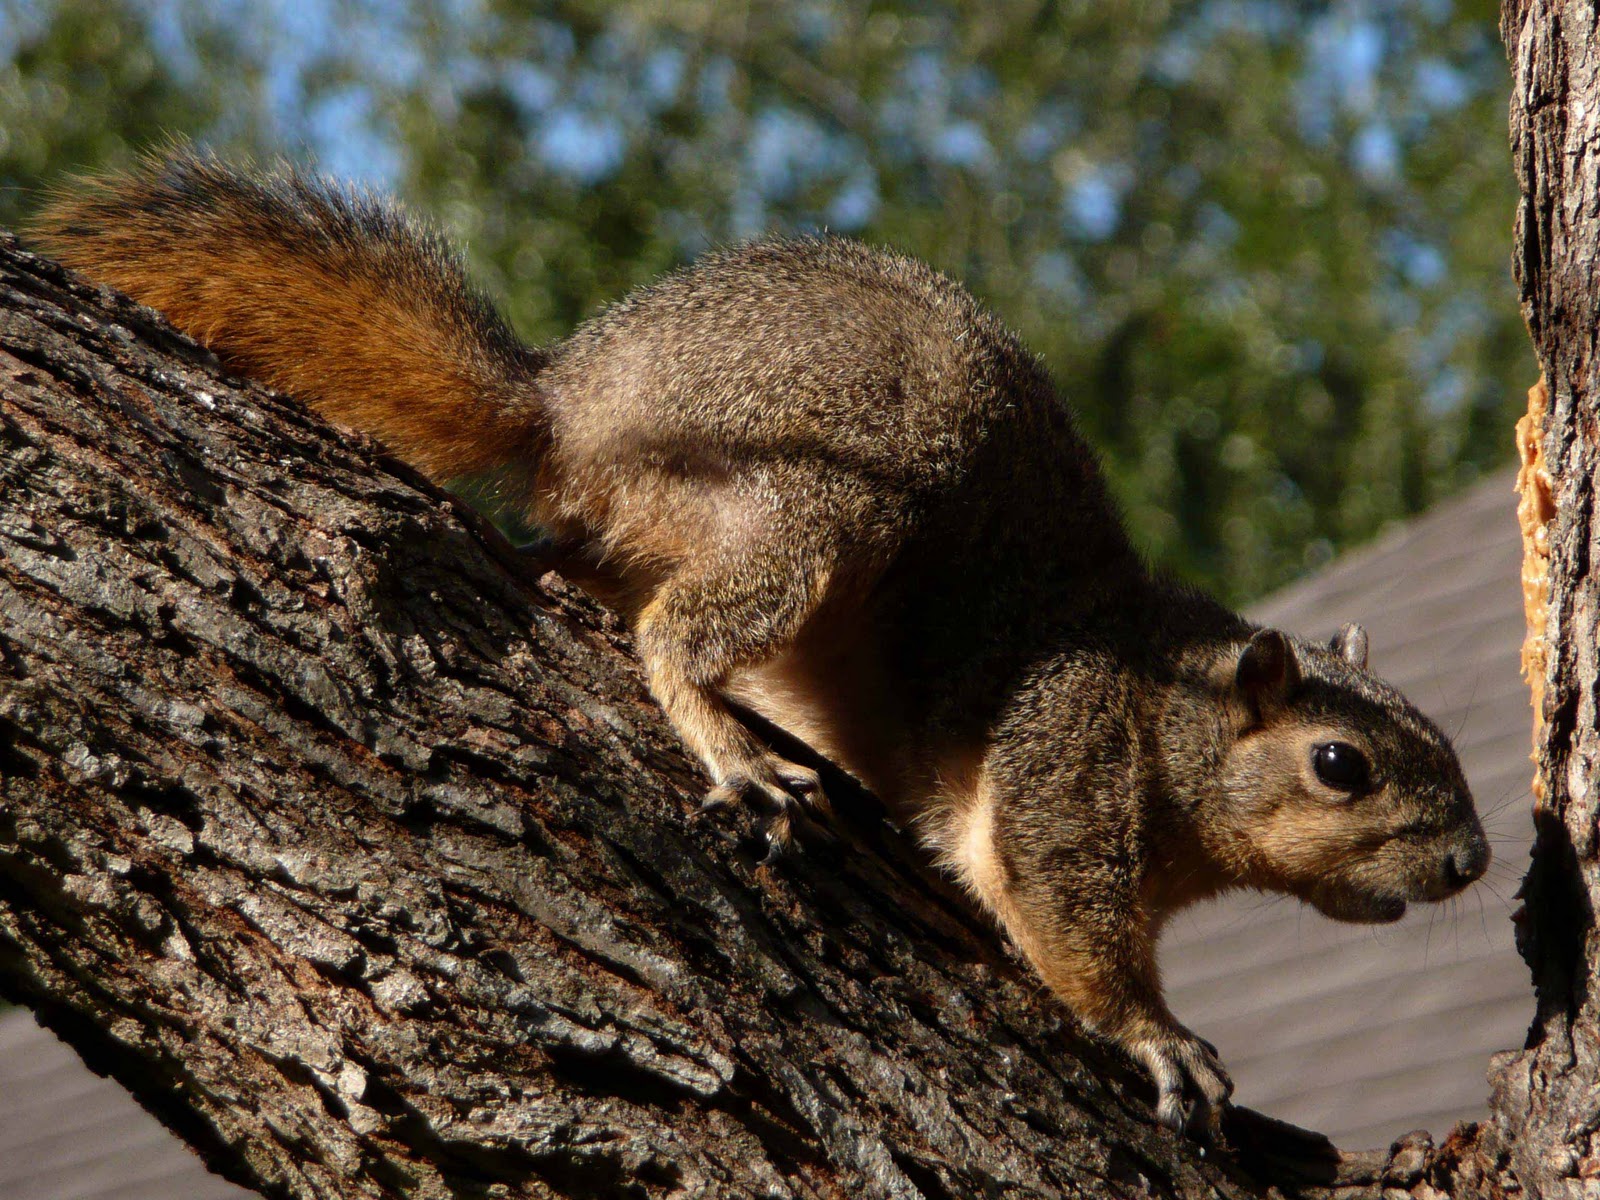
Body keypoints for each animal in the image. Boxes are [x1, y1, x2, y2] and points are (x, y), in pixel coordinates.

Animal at [30, 147, 1491, 1135]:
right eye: (1340, 766)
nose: (1473, 864)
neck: (1173, 717)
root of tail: (567, 405)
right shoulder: (1067, 753)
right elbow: (1069, 920)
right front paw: (1160, 1039)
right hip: (824, 497)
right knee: (674, 628)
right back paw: (735, 750)